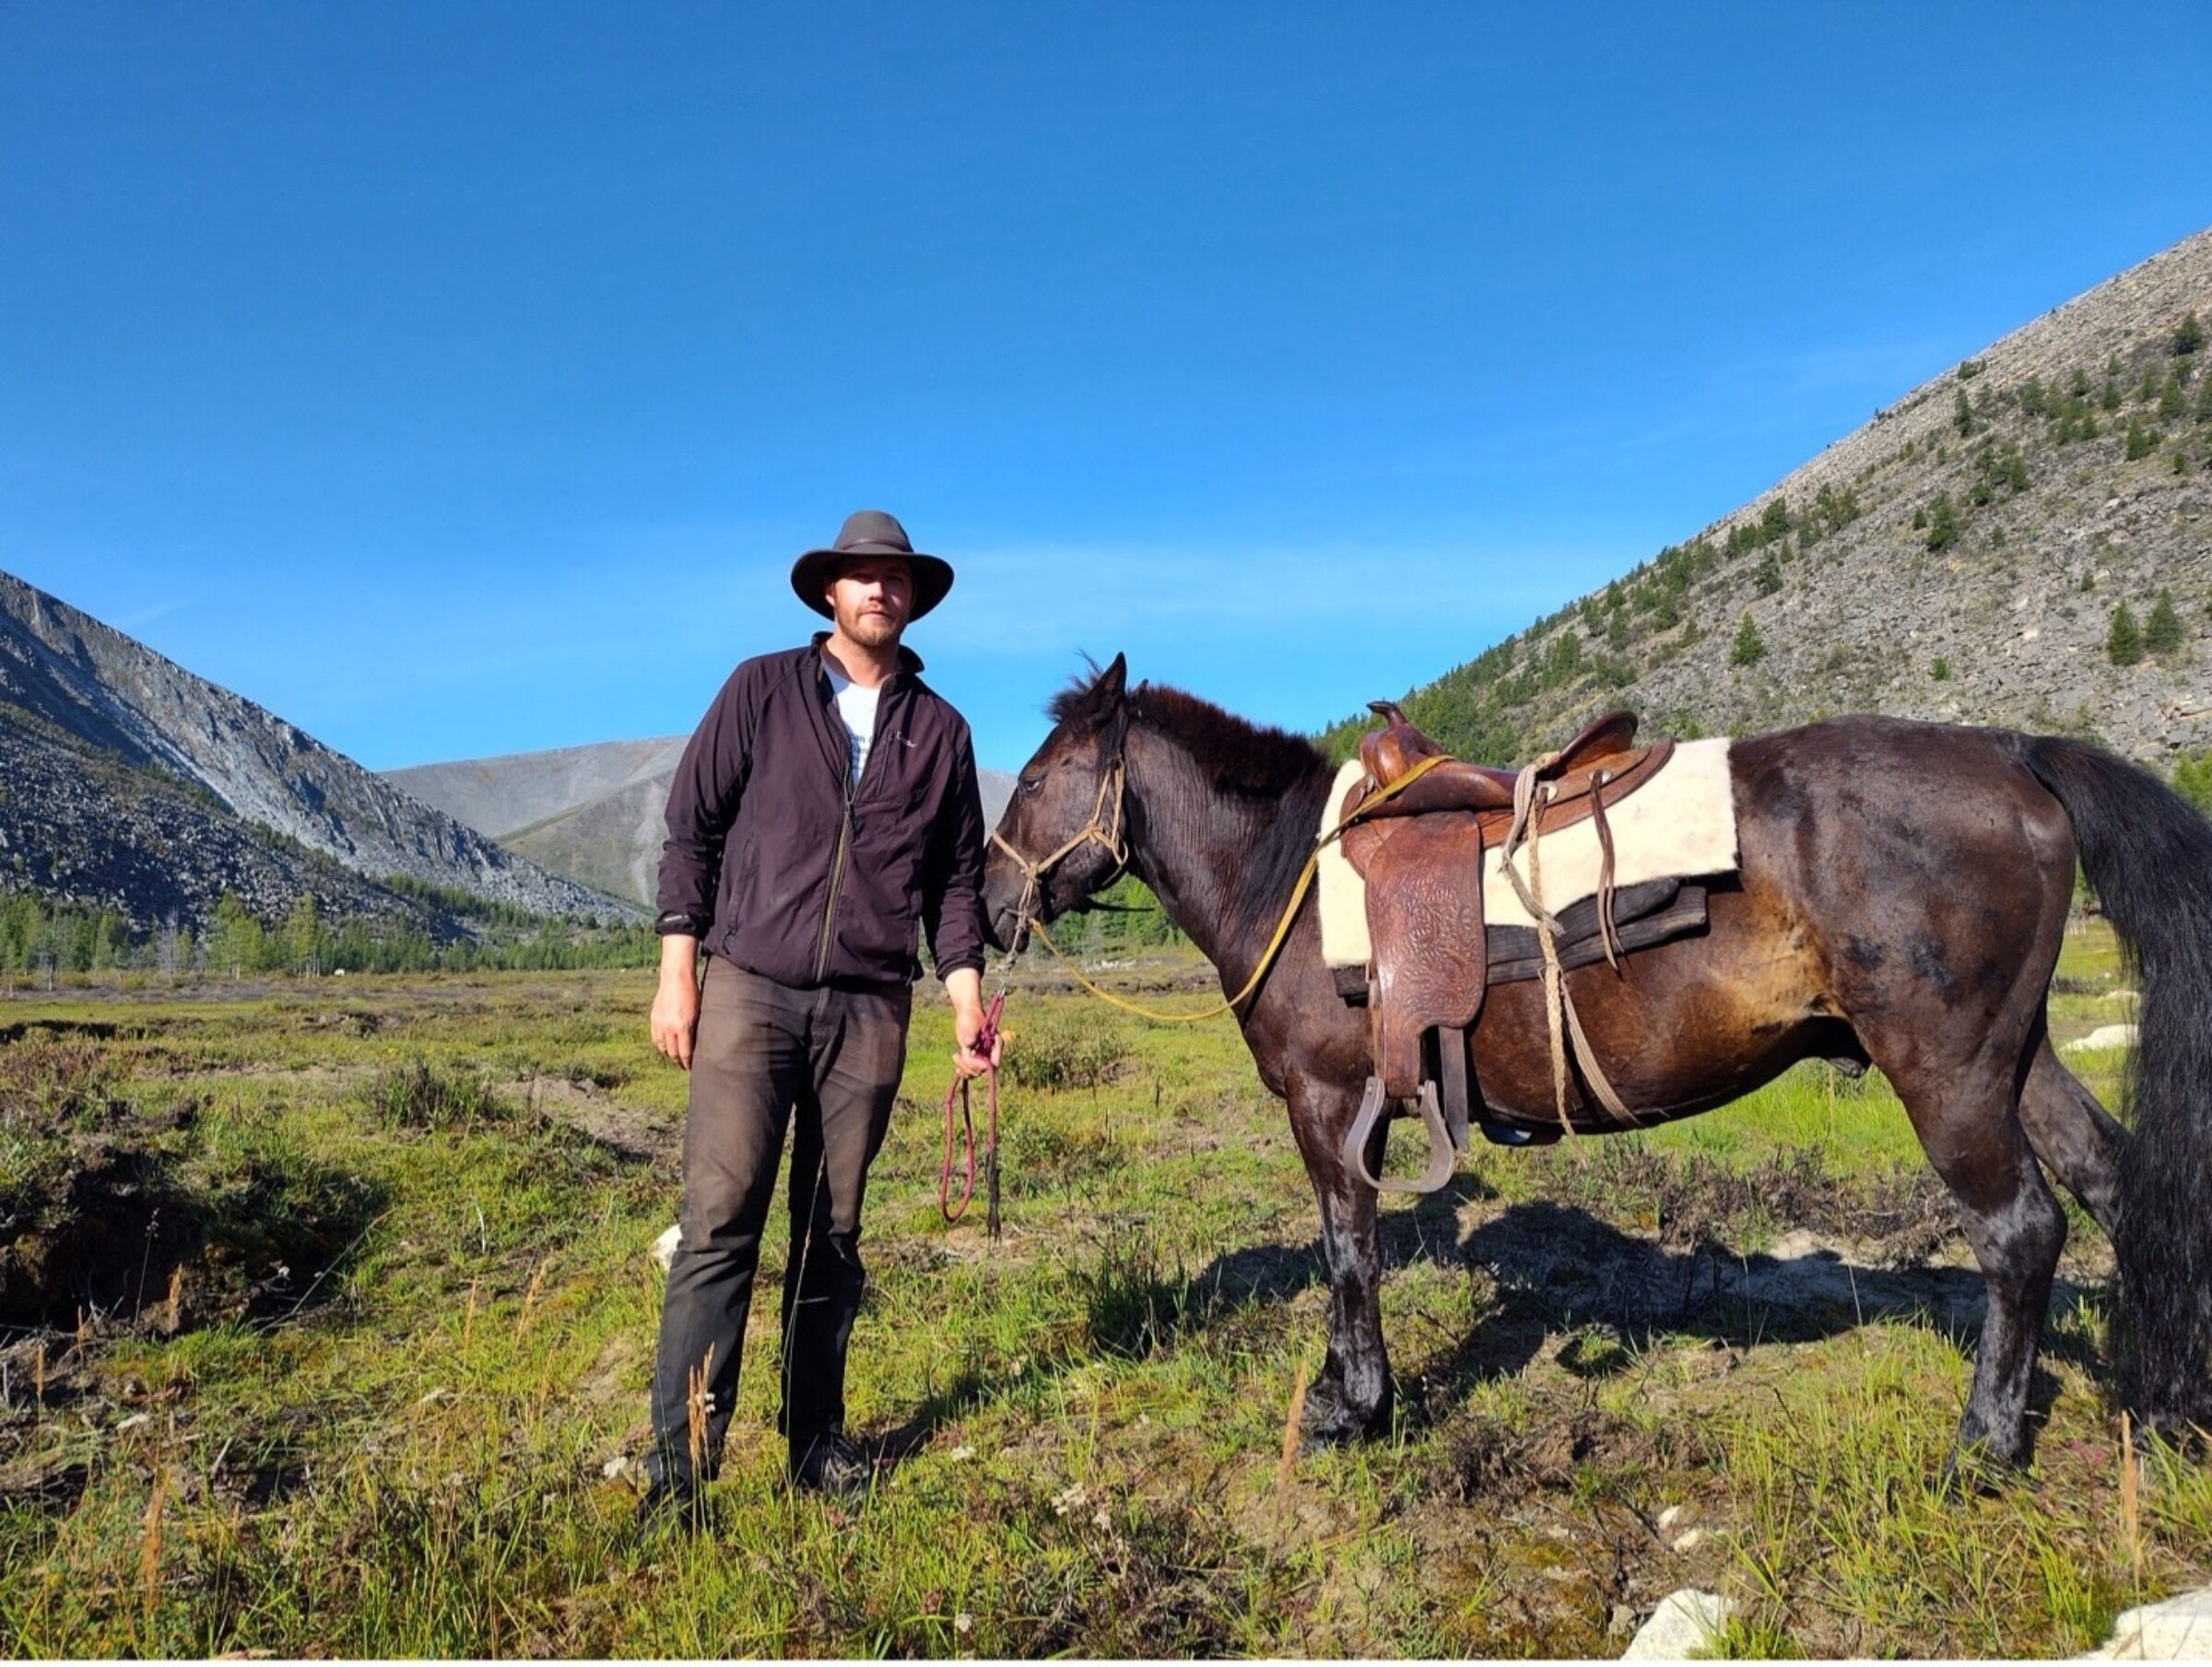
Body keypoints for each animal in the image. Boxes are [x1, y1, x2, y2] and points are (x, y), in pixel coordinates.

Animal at [979, 654, 2212, 1475]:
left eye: (1034, 780)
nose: (986, 903)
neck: (1287, 873)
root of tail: (2015, 755)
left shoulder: (1330, 1107)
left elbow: (1348, 1254)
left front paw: (1354, 1407)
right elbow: (1350, 1253)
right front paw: (1347, 1392)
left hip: (1944, 1070)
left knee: (2020, 1232)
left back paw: (1983, 1448)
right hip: (2013, 1056)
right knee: (2119, 1193)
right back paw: (2158, 1410)